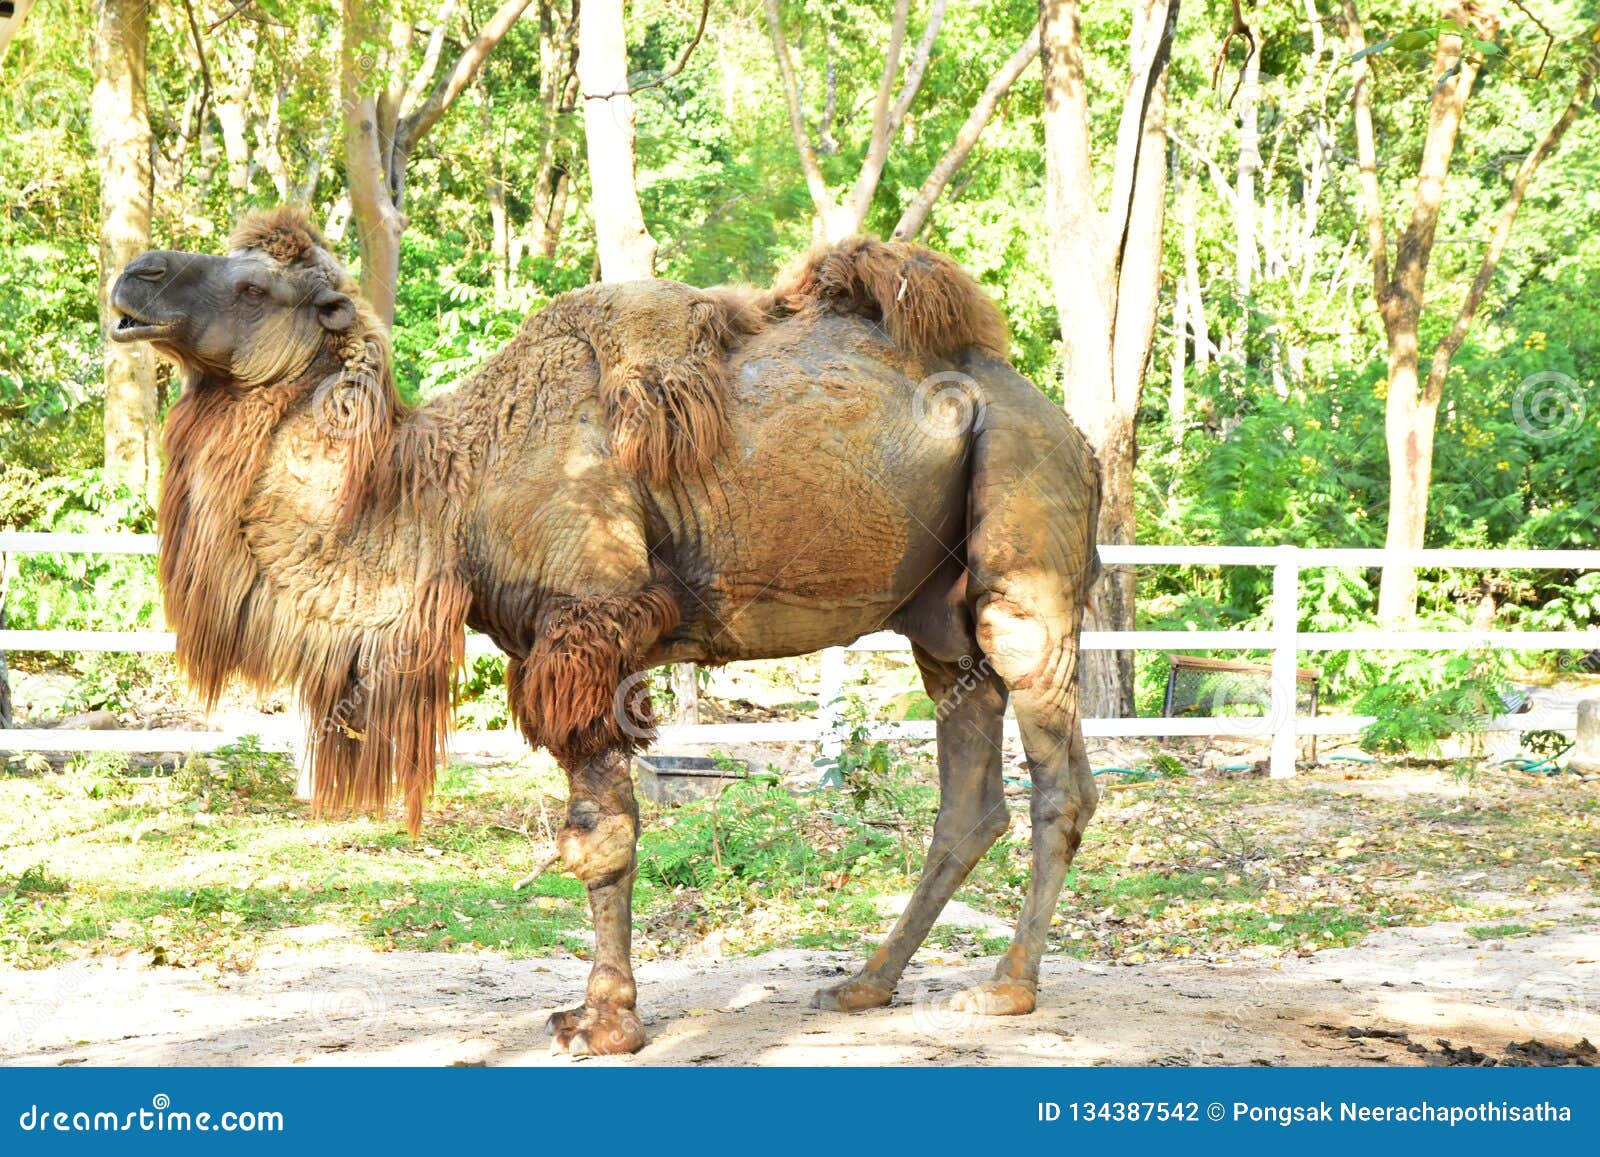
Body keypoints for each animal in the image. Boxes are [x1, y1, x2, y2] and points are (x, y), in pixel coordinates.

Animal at [110, 208, 1102, 1055]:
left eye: (255, 287)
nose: (133, 276)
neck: (449, 489)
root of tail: (1066, 427)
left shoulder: (586, 627)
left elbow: (601, 836)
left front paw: (606, 1024)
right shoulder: (548, 645)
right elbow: (596, 832)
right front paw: (590, 1011)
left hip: (1023, 540)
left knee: (1057, 777)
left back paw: (1005, 987)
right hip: (938, 618)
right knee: (969, 793)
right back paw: (865, 982)